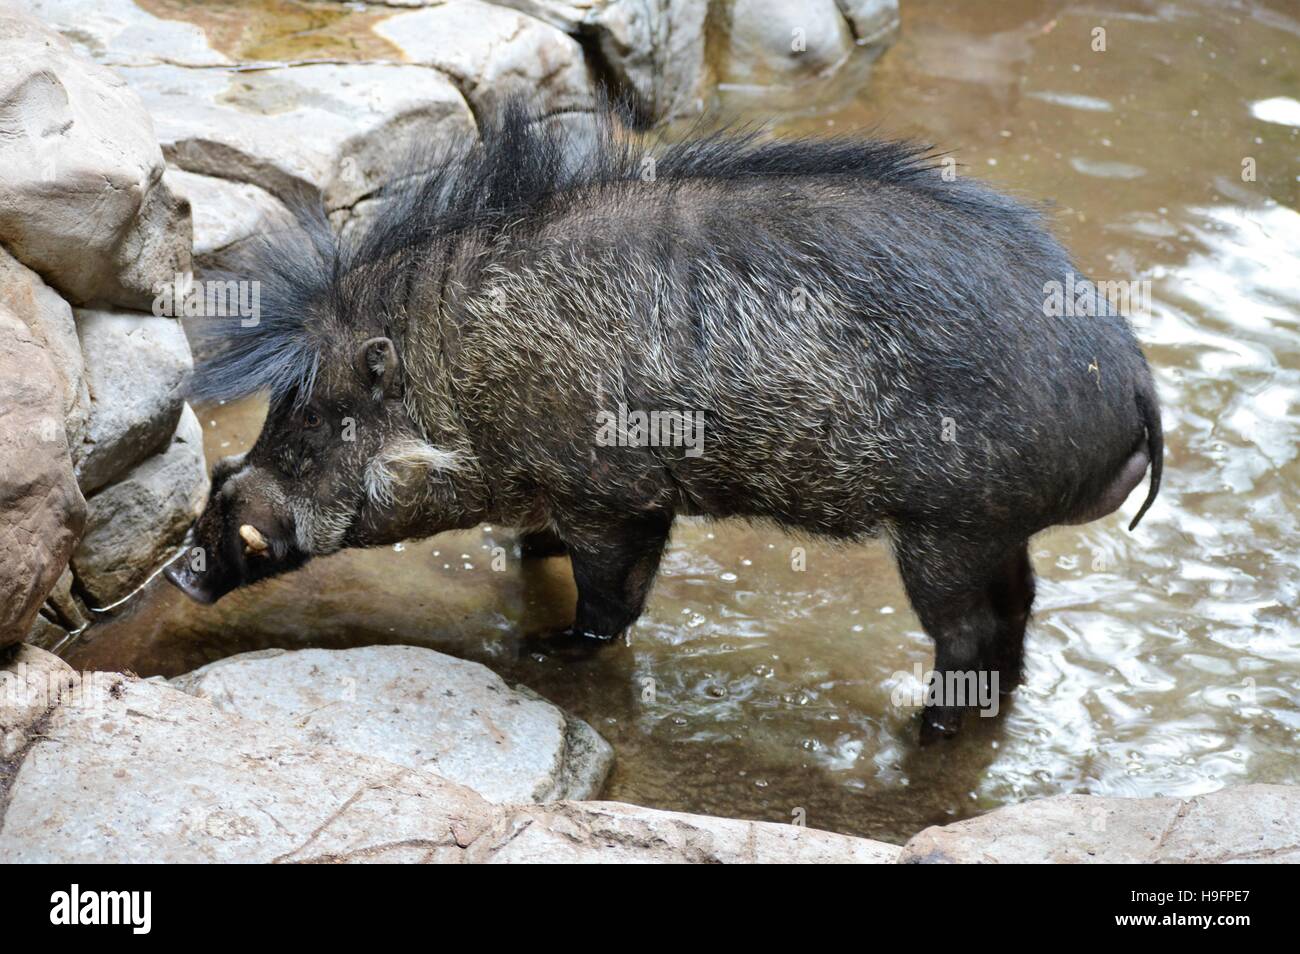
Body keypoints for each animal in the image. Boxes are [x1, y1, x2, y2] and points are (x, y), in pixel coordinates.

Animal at [166, 100, 1163, 741]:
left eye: (318, 425)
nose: (180, 570)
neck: (462, 363)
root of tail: (1132, 382)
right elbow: (543, 550)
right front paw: (521, 569)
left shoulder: (617, 493)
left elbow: (613, 603)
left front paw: (540, 644)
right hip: (993, 529)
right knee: (1022, 607)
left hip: (947, 529)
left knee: (972, 629)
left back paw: (930, 731)